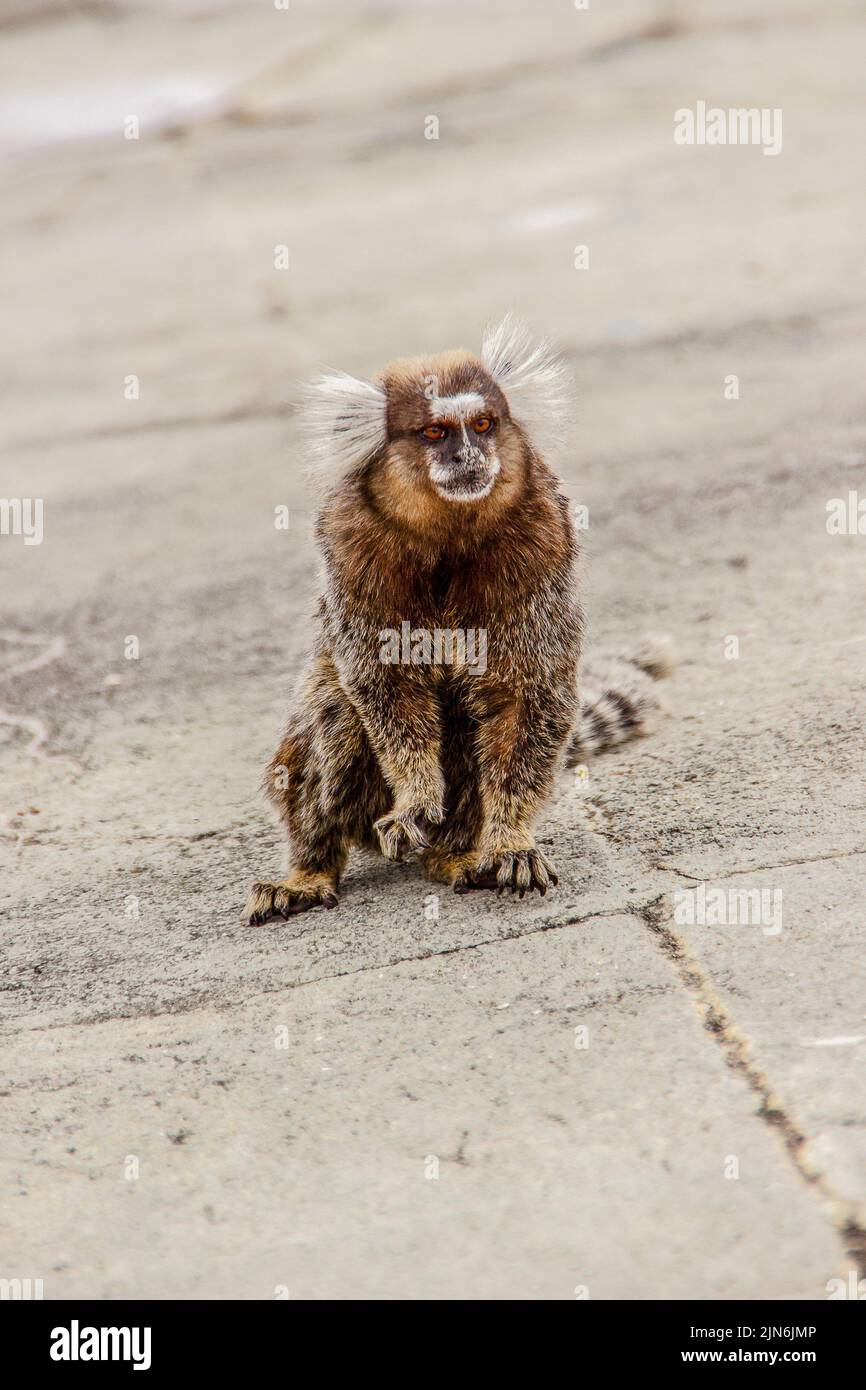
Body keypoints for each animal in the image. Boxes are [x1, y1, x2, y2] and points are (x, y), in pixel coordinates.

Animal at [246, 315, 671, 924]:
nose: (469, 457)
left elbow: (529, 693)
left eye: (483, 424)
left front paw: (509, 841)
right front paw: (417, 797)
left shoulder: (545, 536)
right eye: (435, 432)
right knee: (332, 711)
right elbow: (382, 684)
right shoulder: (350, 545)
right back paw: (310, 870)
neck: (448, 535)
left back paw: (458, 857)